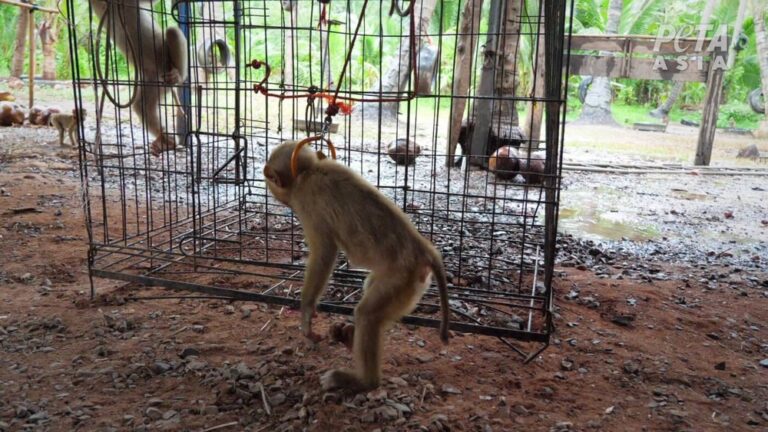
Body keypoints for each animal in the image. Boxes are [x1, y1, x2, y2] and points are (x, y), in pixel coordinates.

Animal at [89, 0, 188, 157]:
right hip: (154, 82)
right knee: (141, 105)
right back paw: (166, 141)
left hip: (165, 67)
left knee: (172, 31)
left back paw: (178, 76)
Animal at [263, 141, 451, 393]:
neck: (308, 171)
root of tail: (425, 250)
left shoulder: (306, 200)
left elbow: (324, 253)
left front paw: (306, 312)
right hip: (410, 284)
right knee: (372, 290)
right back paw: (350, 338)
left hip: (403, 278)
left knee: (368, 315)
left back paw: (363, 381)